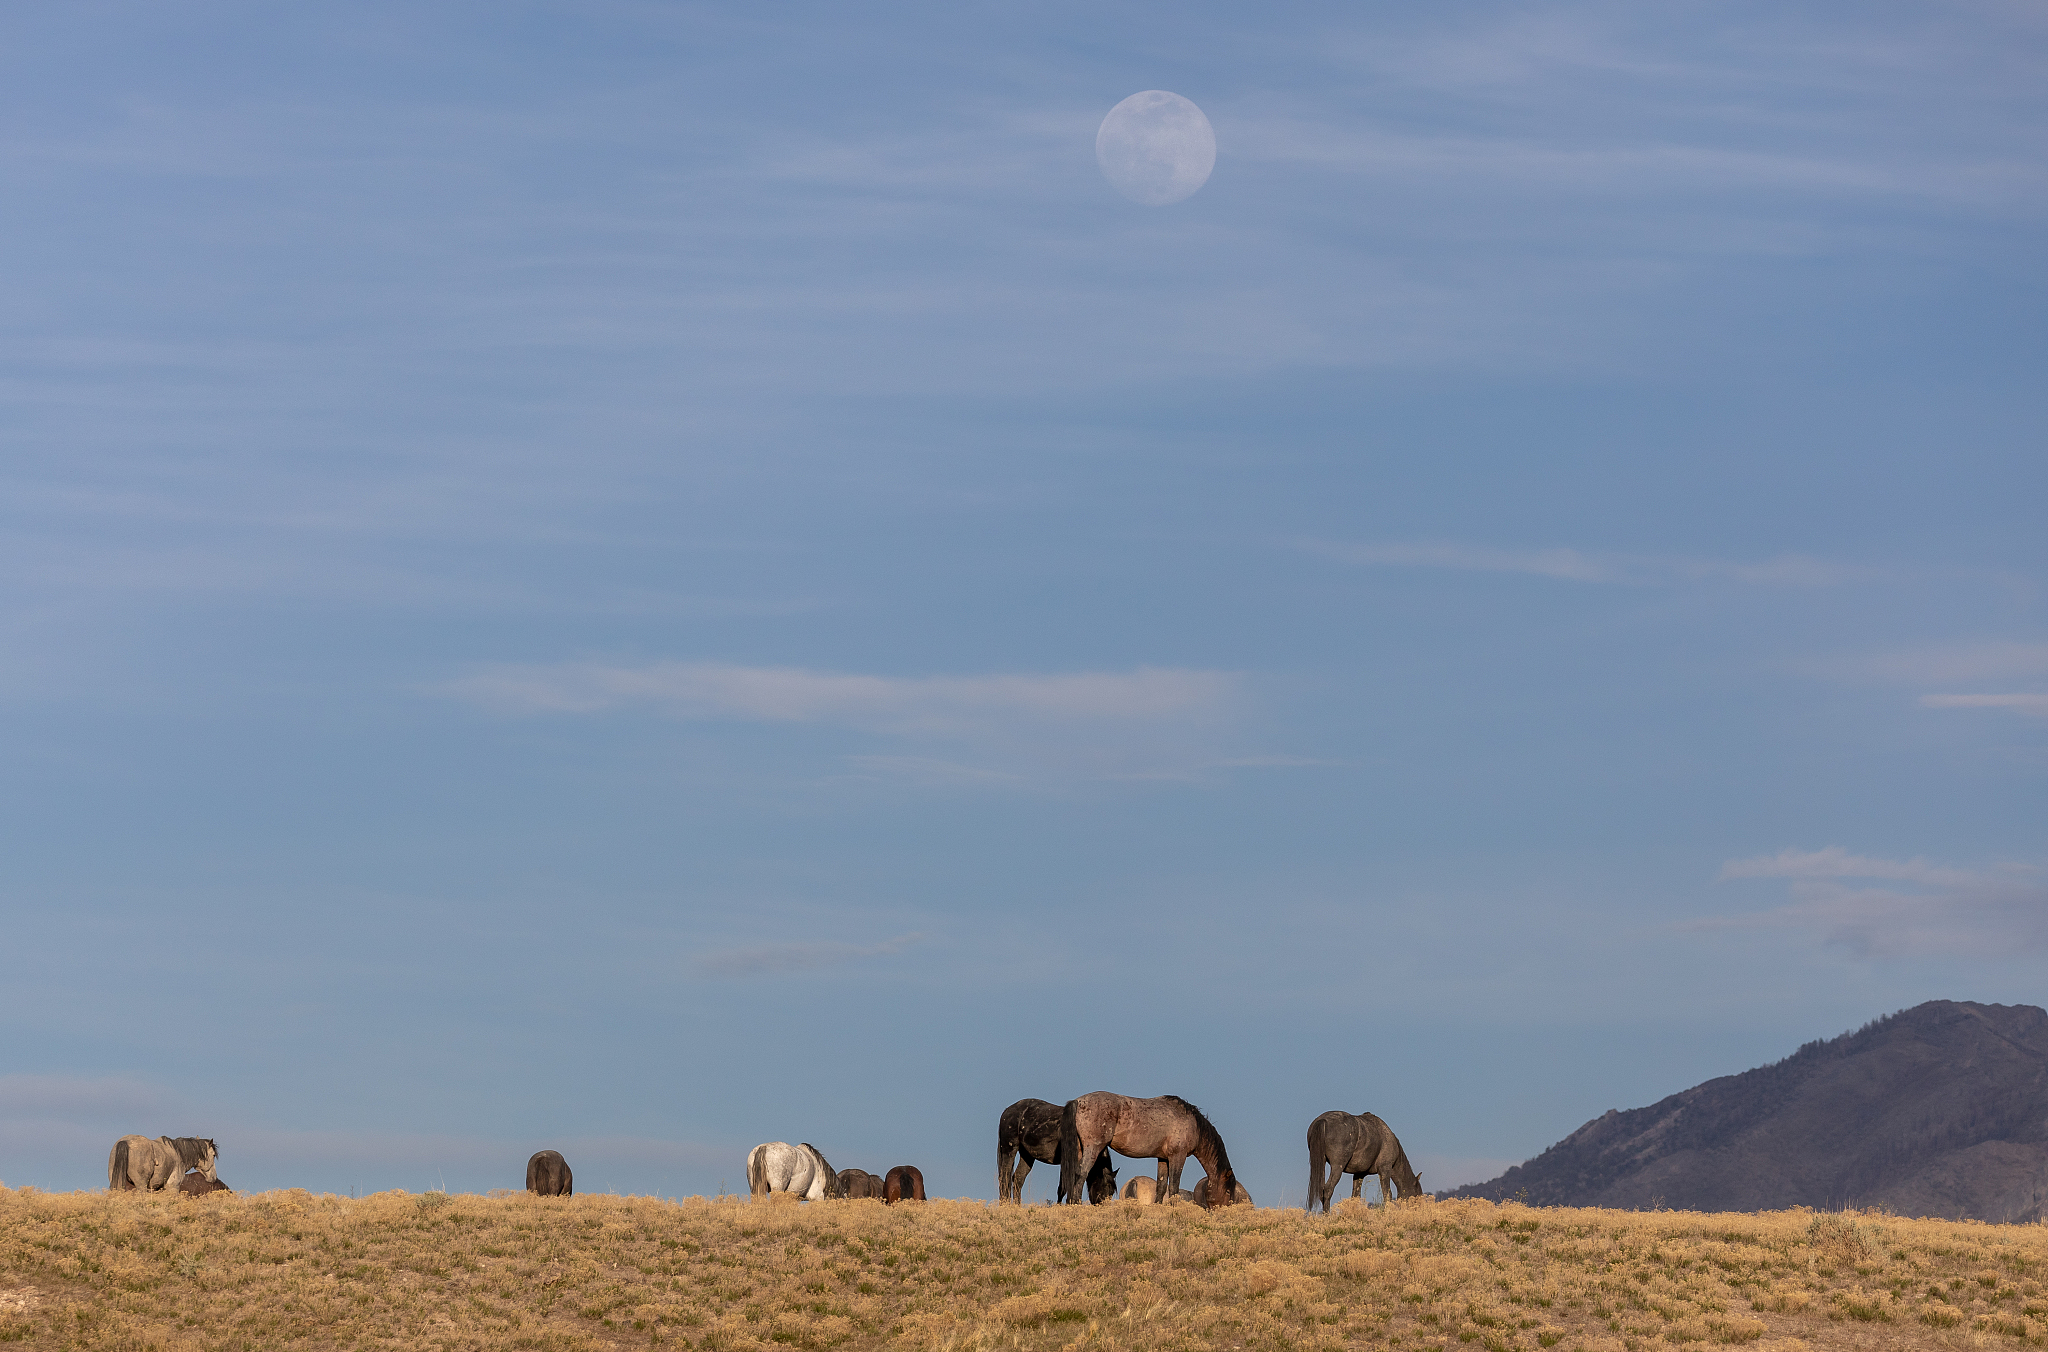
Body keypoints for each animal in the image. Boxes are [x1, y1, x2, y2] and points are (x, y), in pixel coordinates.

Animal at [1057, 1093, 1238, 1208]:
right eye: (1228, 1190)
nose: (1224, 1211)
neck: (1191, 1122)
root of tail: (1077, 1102)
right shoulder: (1178, 1156)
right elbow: (1174, 1186)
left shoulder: (1163, 1158)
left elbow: (1161, 1186)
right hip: (1092, 1148)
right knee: (1081, 1174)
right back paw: (1075, 1203)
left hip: (1080, 1149)